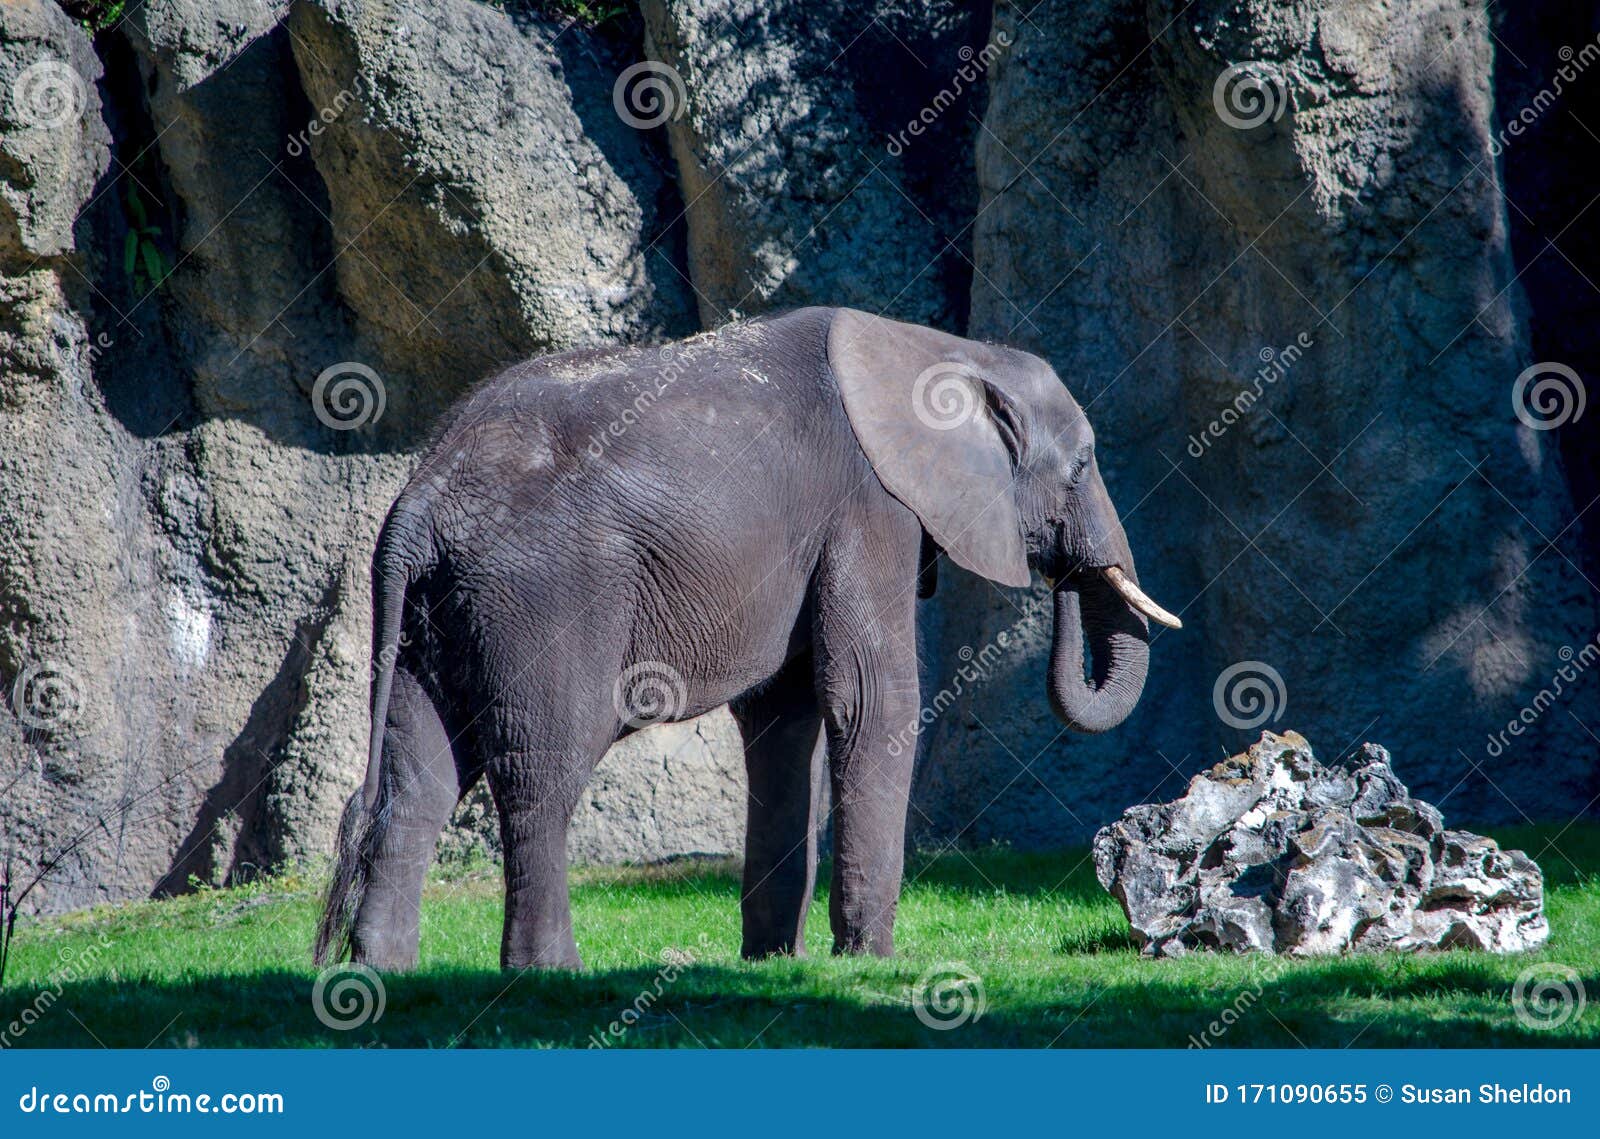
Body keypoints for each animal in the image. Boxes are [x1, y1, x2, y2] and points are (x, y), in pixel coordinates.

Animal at [314, 306, 1179, 971]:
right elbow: (872, 700)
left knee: (418, 778)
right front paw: (869, 962)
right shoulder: (870, 506)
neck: (938, 347)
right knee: (541, 769)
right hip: (537, 592)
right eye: (1083, 463)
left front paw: (774, 963)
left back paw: (382, 974)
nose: (1062, 572)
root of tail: (419, 497)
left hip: (433, 614)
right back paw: (549, 973)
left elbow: (786, 720)